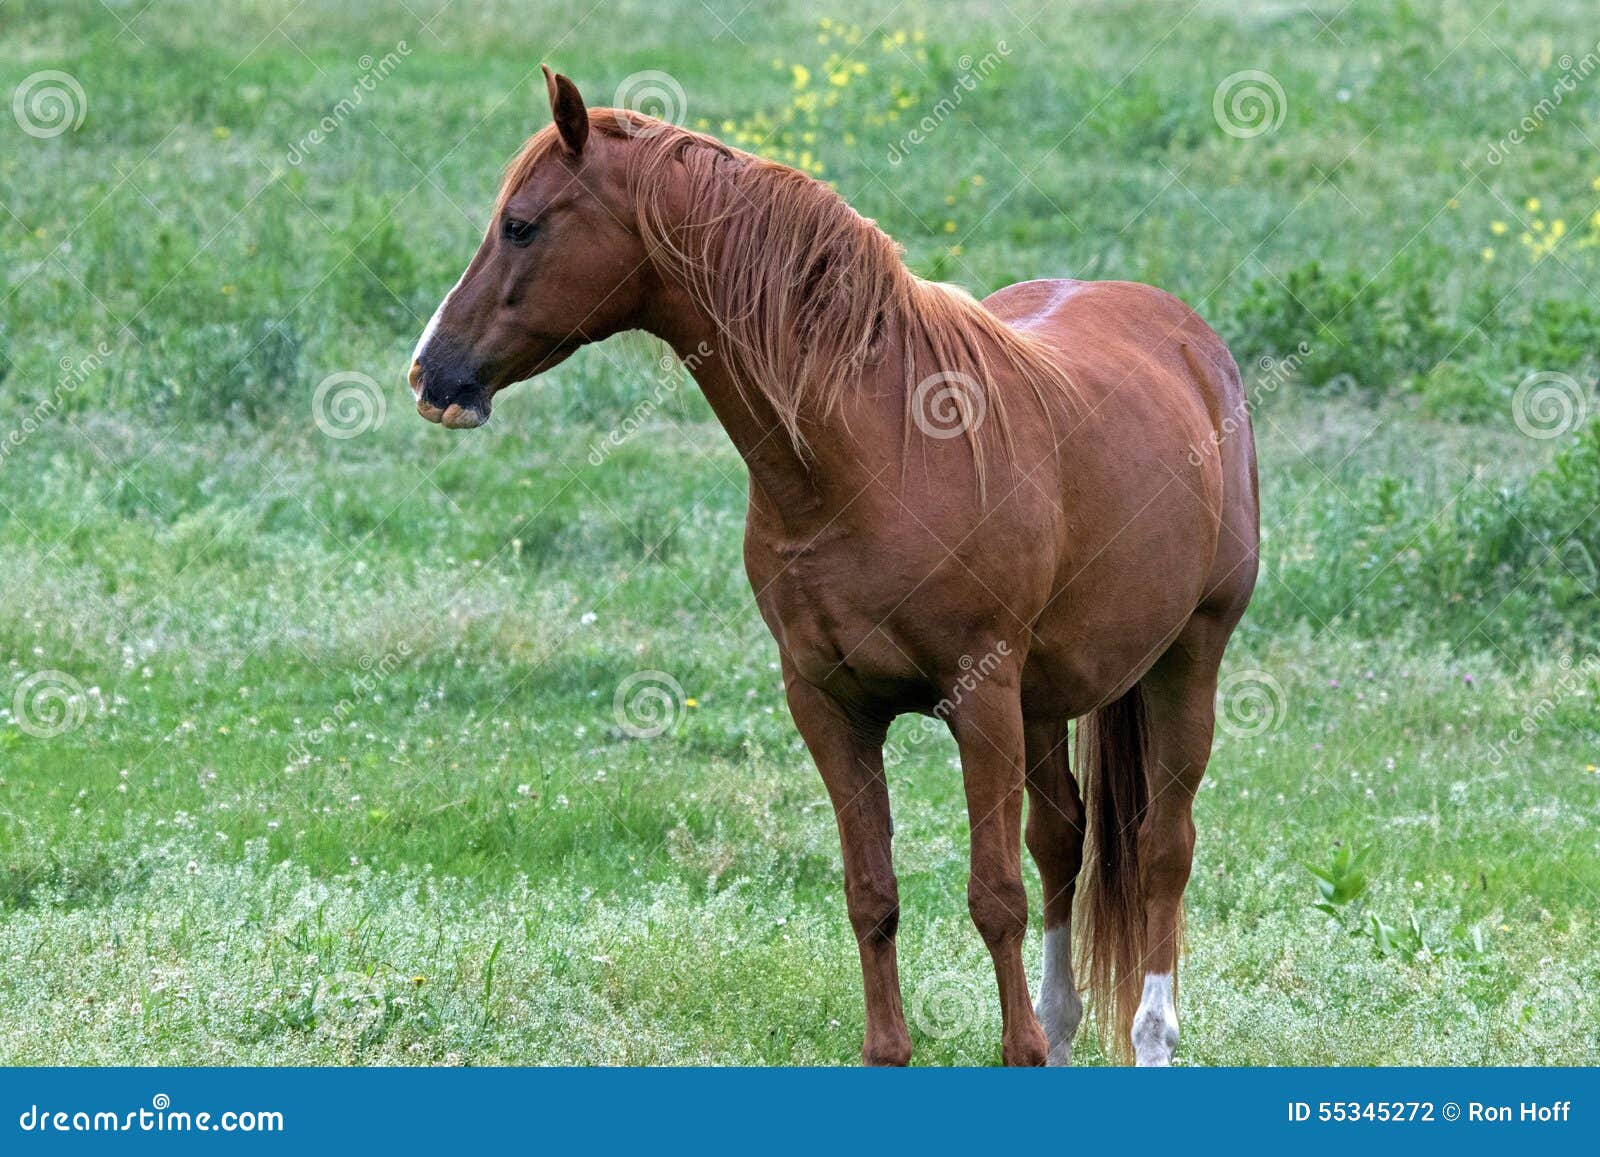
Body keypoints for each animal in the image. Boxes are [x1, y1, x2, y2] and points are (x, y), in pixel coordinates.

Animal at [409, 67, 1259, 1067]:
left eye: (521, 225)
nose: (431, 375)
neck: (870, 451)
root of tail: (1190, 342)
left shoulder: (979, 696)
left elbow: (994, 897)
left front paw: (1016, 1047)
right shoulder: (829, 703)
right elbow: (873, 894)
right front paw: (896, 1047)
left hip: (1186, 658)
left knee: (1162, 846)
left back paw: (1149, 1032)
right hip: (1047, 698)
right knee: (1065, 837)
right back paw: (1060, 1022)